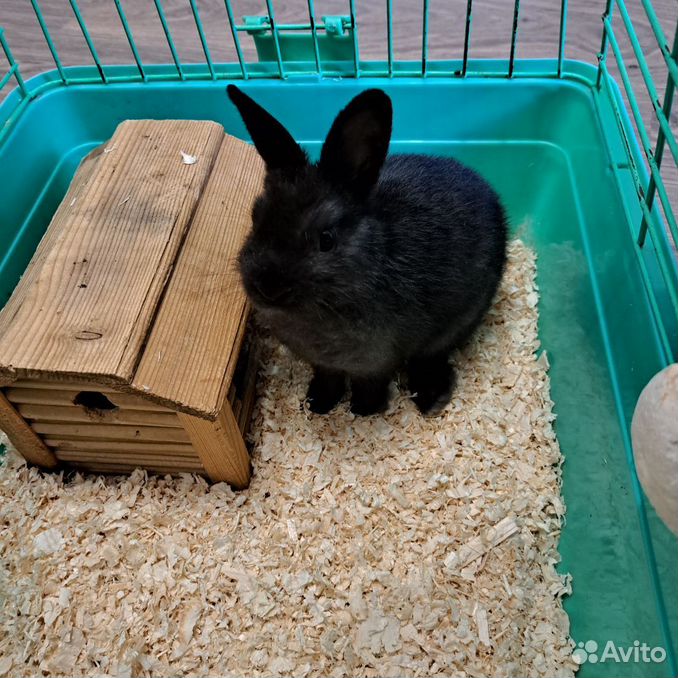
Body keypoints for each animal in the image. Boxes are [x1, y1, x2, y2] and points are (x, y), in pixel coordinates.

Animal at [227, 84, 507, 416]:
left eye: (326, 239)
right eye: (255, 217)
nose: (267, 286)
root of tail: (493, 198)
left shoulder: (375, 363)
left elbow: (369, 386)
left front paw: (363, 412)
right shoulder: (325, 365)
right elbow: (328, 379)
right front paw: (318, 405)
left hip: (458, 321)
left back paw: (431, 398)